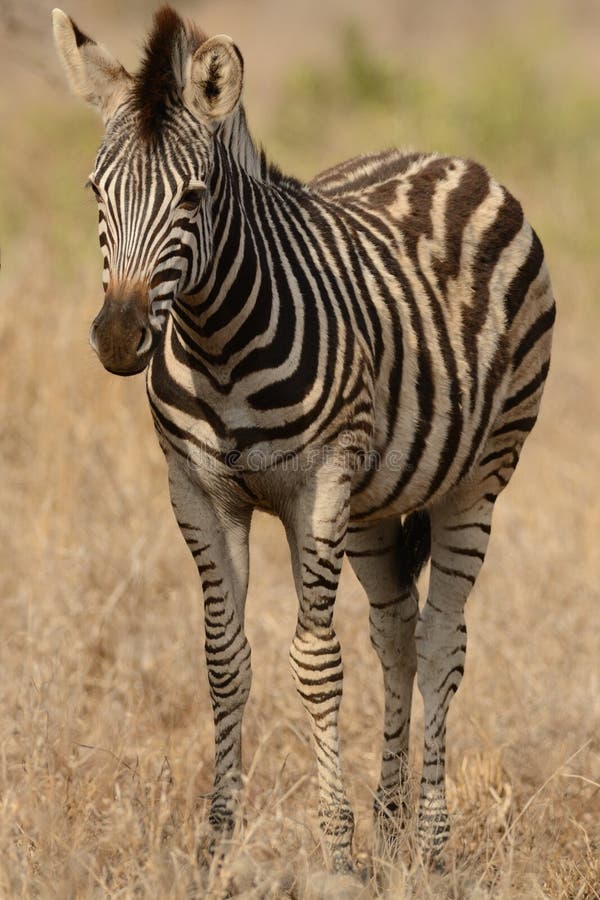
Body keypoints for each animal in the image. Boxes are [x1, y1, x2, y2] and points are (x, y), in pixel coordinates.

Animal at [52, 5, 555, 872]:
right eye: (95, 190)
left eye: (192, 196)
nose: (117, 339)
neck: (216, 341)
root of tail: (444, 158)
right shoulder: (197, 490)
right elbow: (224, 660)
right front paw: (218, 842)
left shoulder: (318, 485)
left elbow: (316, 662)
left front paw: (336, 847)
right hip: (377, 501)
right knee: (395, 633)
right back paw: (391, 824)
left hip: (477, 481)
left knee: (440, 644)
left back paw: (430, 843)